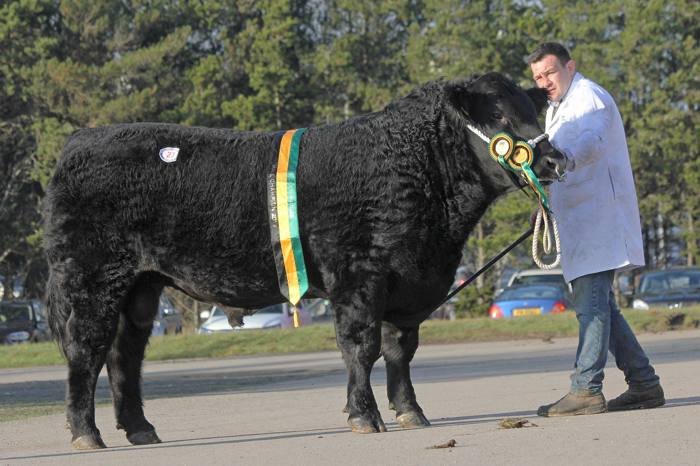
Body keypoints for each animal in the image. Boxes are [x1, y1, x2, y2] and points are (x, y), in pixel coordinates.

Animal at [43, 72, 566, 450]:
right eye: (497, 114)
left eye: (531, 109)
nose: (554, 160)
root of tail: (80, 141)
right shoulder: (359, 275)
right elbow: (362, 347)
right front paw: (364, 415)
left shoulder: (409, 285)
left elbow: (401, 350)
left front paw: (411, 412)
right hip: (92, 278)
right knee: (86, 351)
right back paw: (86, 434)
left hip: (141, 286)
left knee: (125, 355)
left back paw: (140, 429)